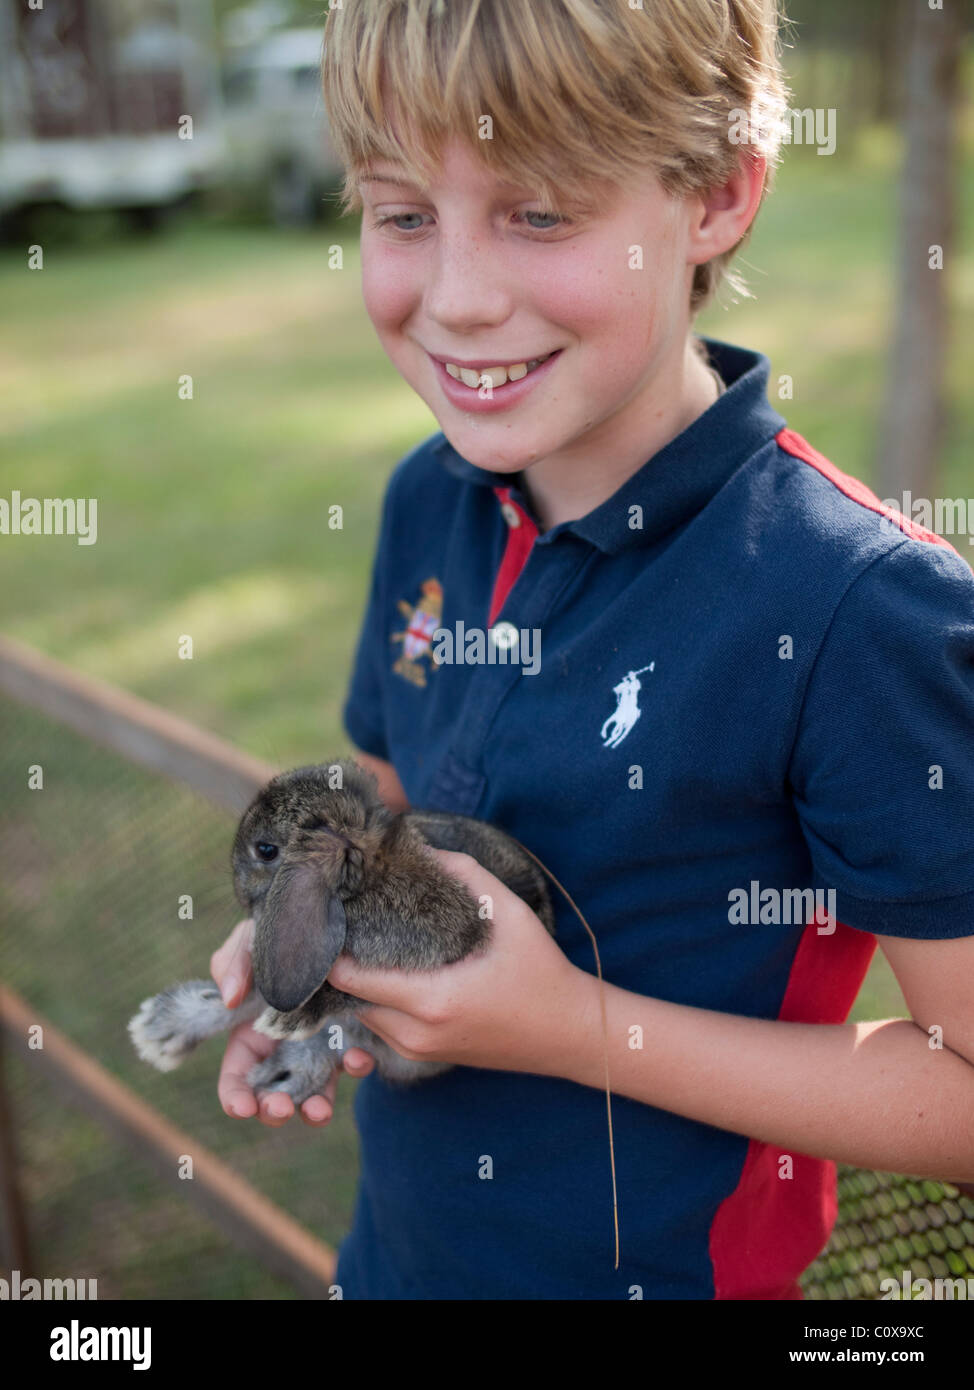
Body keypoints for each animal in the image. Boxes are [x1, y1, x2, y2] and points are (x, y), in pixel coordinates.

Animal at [128, 758, 555, 1103]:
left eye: (265, 850)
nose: (239, 891)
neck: (368, 875)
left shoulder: (446, 936)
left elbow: (351, 994)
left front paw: (291, 1019)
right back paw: (163, 1028)